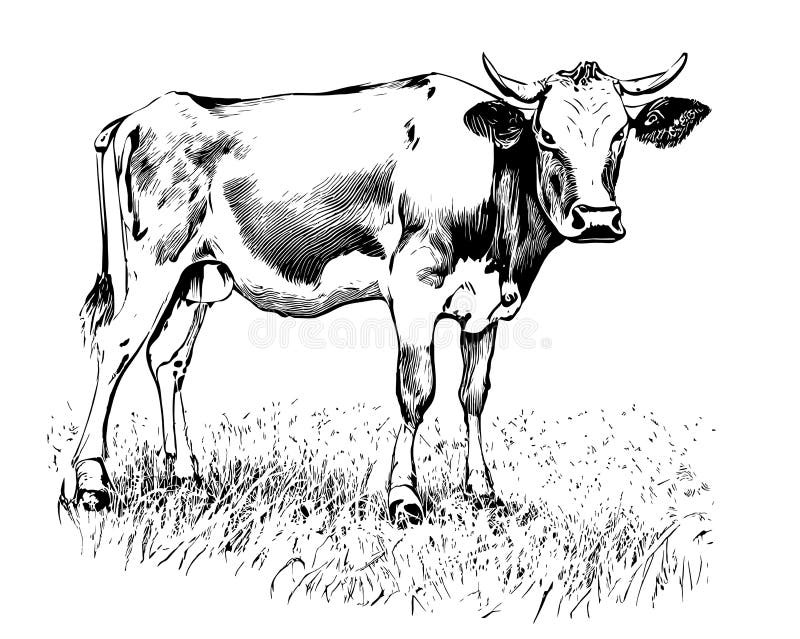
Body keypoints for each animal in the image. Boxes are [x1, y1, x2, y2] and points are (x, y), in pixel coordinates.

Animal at [65, 54, 709, 525]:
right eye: (546, 134)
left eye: (622, 134)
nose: (598, 218)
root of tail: (140, 115)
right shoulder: (416, 291)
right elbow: (417, 392)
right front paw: (405, 497)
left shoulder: (486, 309)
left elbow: (474, 396)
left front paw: (483, 489)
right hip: (152, 264)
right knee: (115, 346)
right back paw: (92, 484)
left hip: (197, 277)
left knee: (167, 358)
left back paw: (186, 475)